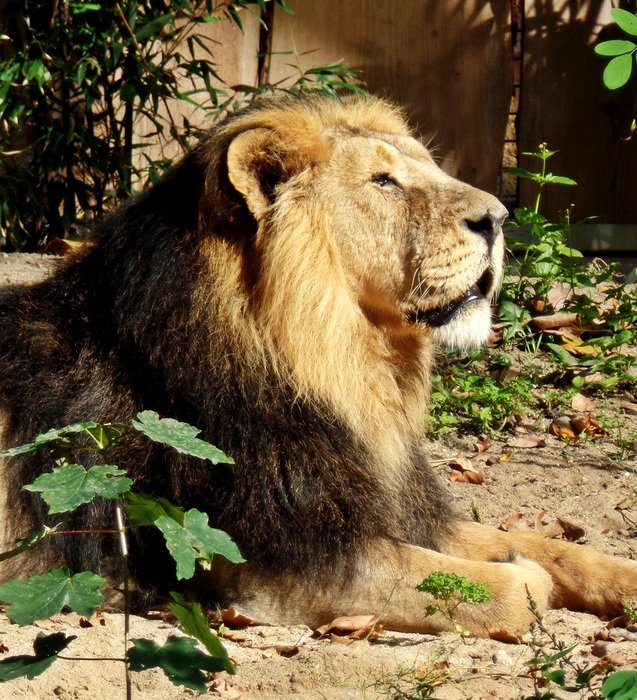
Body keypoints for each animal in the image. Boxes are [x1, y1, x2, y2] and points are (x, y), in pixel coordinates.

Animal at [0, 94, 635, 639]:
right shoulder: (275, 561)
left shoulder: (391, 508)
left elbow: (556, 548)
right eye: (383, 182)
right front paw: (522, 572)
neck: (355, 369)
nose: (499, 219)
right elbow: (494, 586)